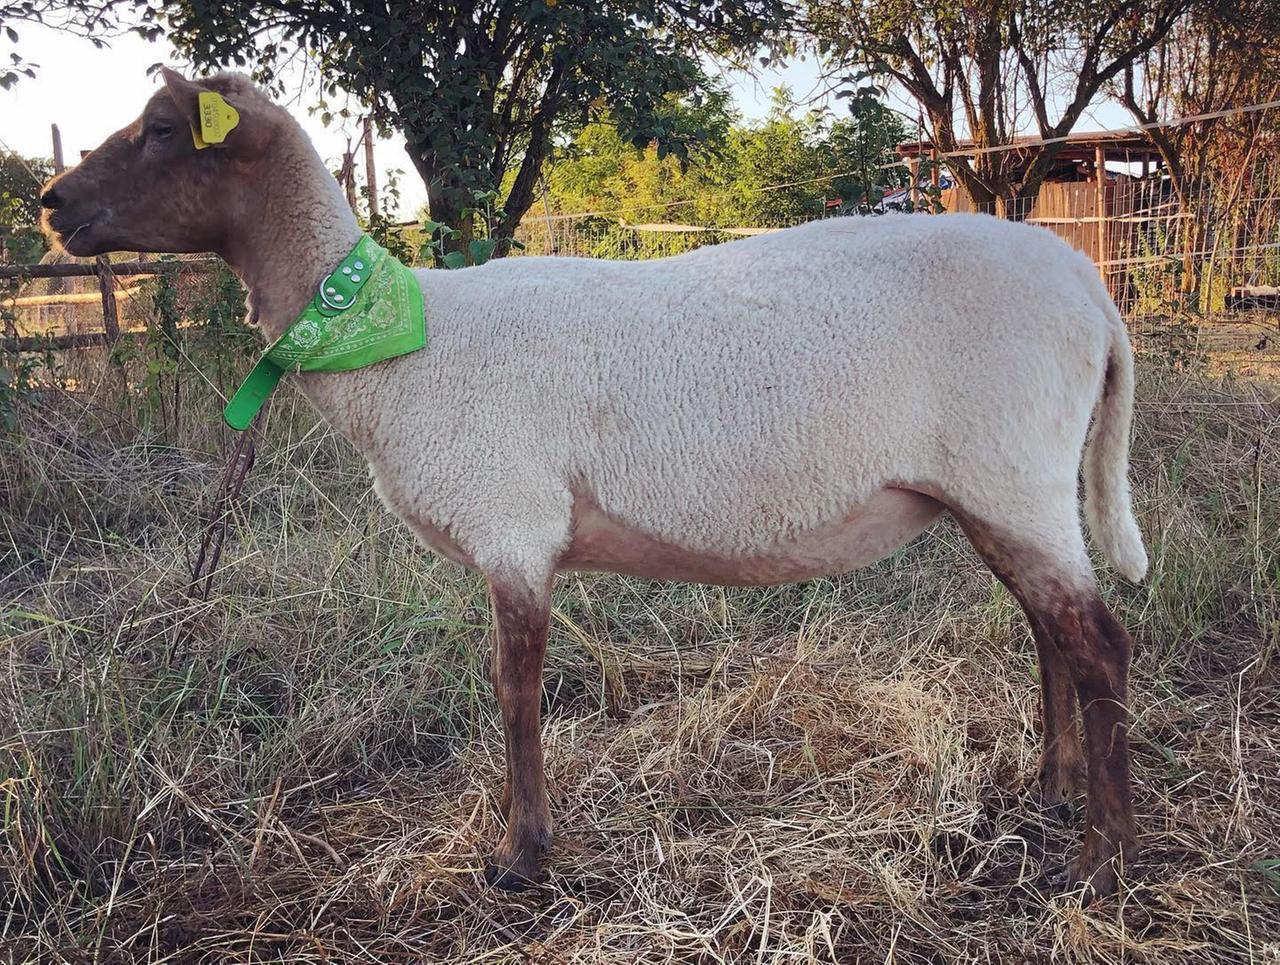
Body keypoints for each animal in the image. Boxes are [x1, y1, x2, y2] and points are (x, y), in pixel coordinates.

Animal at [41, 68, 1148, 897]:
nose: (50, 205)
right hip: (1000, 486)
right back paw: (1048, 789)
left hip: (1011, 469)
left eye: (161, 128)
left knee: (1099, 644)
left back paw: (1101, 861)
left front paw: (520, 854)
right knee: (1048, 628)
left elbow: (515, 691)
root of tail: (1092, 293)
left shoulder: (511, 521)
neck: (397, 342)